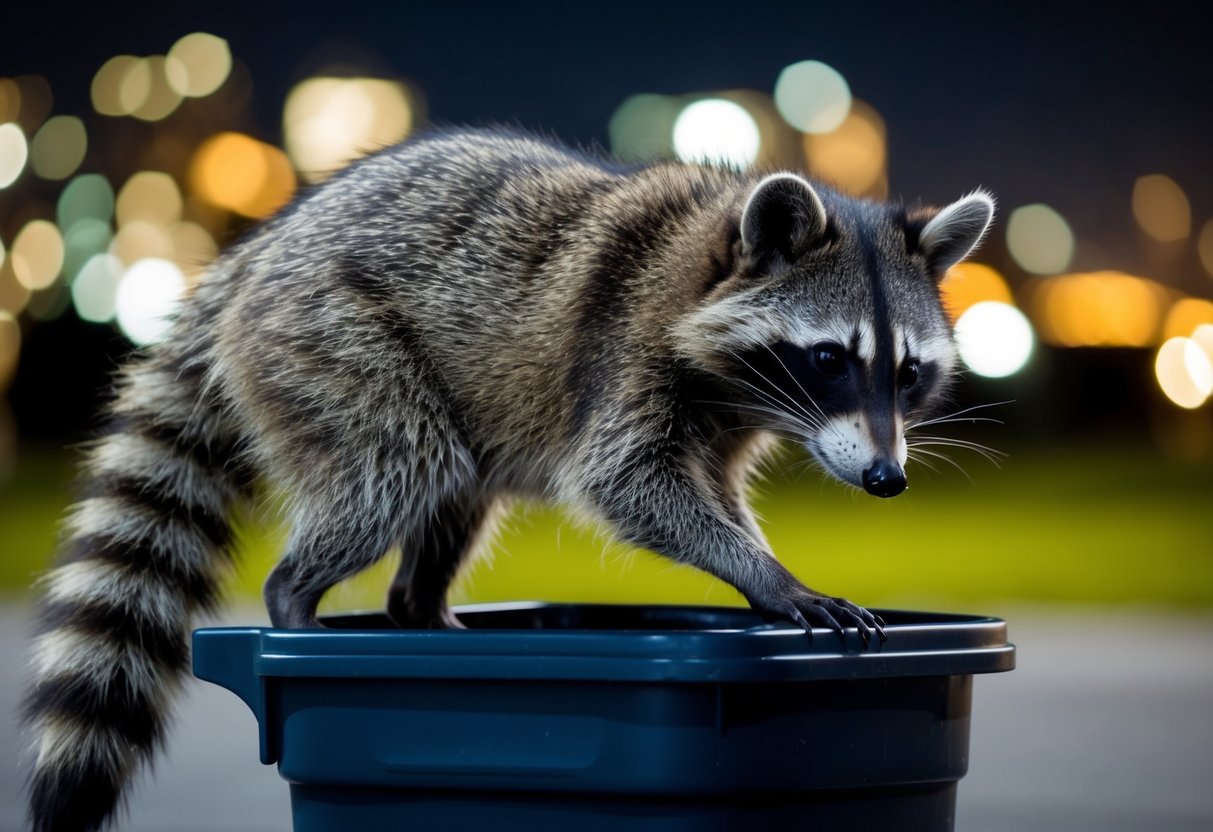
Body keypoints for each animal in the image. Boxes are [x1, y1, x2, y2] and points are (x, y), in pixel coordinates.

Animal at [23, 127, 992, 831]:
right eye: (829, 358)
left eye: (907, 372)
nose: (886, 479)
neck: (712, 259)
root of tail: (251, 257)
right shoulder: (627, 347)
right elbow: (626, 482)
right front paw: (769, 576)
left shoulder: (728, 420)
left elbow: (704, 488)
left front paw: (756, 563)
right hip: (329, 340)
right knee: (399, 467)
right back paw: (298, 599)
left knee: (451, 495)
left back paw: (421, 612)